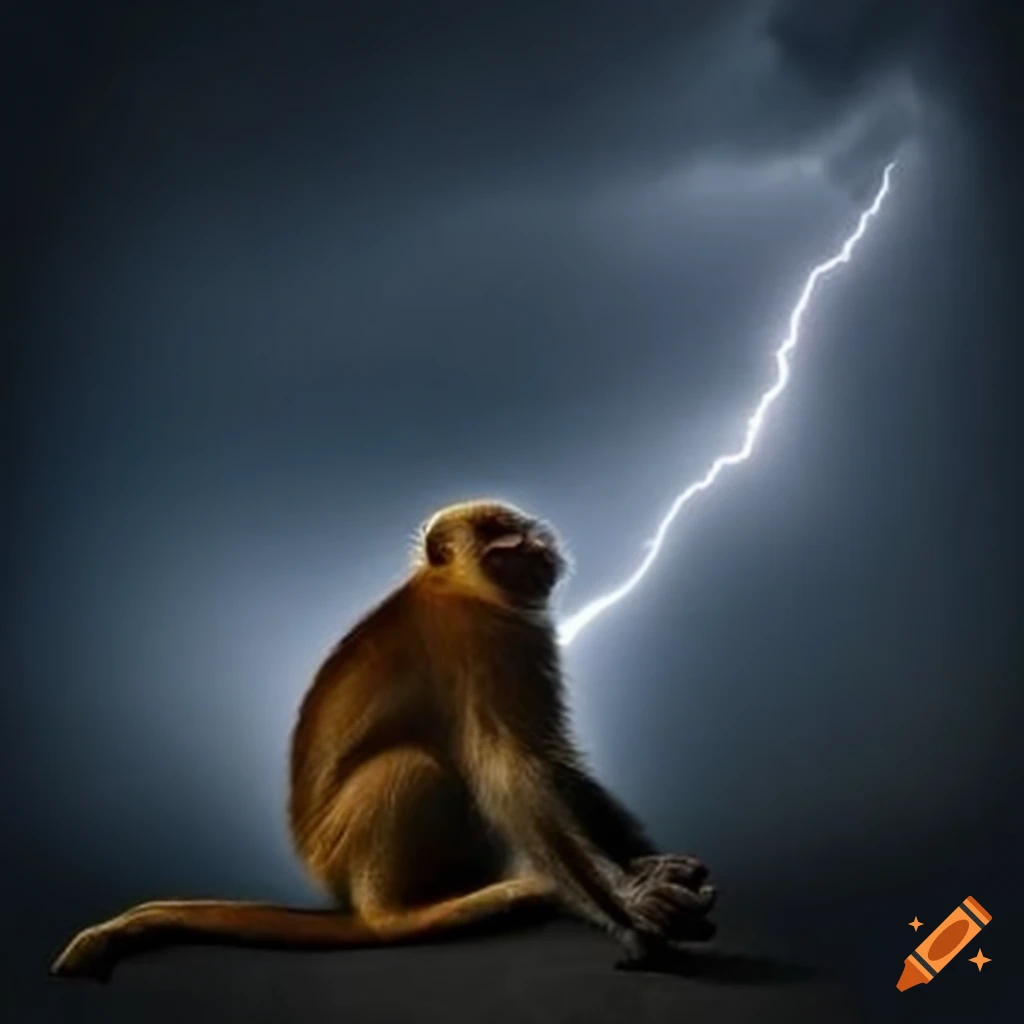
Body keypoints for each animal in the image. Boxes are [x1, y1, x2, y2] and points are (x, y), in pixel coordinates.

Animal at [51, 499, 715, 981]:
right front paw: (624, 908)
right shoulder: (482, 639)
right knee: (415, 767)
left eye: (524, 535)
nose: (535, 548)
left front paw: (641, 868)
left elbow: (551, 762)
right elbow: (512, 775)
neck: (459, 587)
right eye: (502, 545)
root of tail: (344, 892)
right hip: (346, 846)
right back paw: (407, 919)